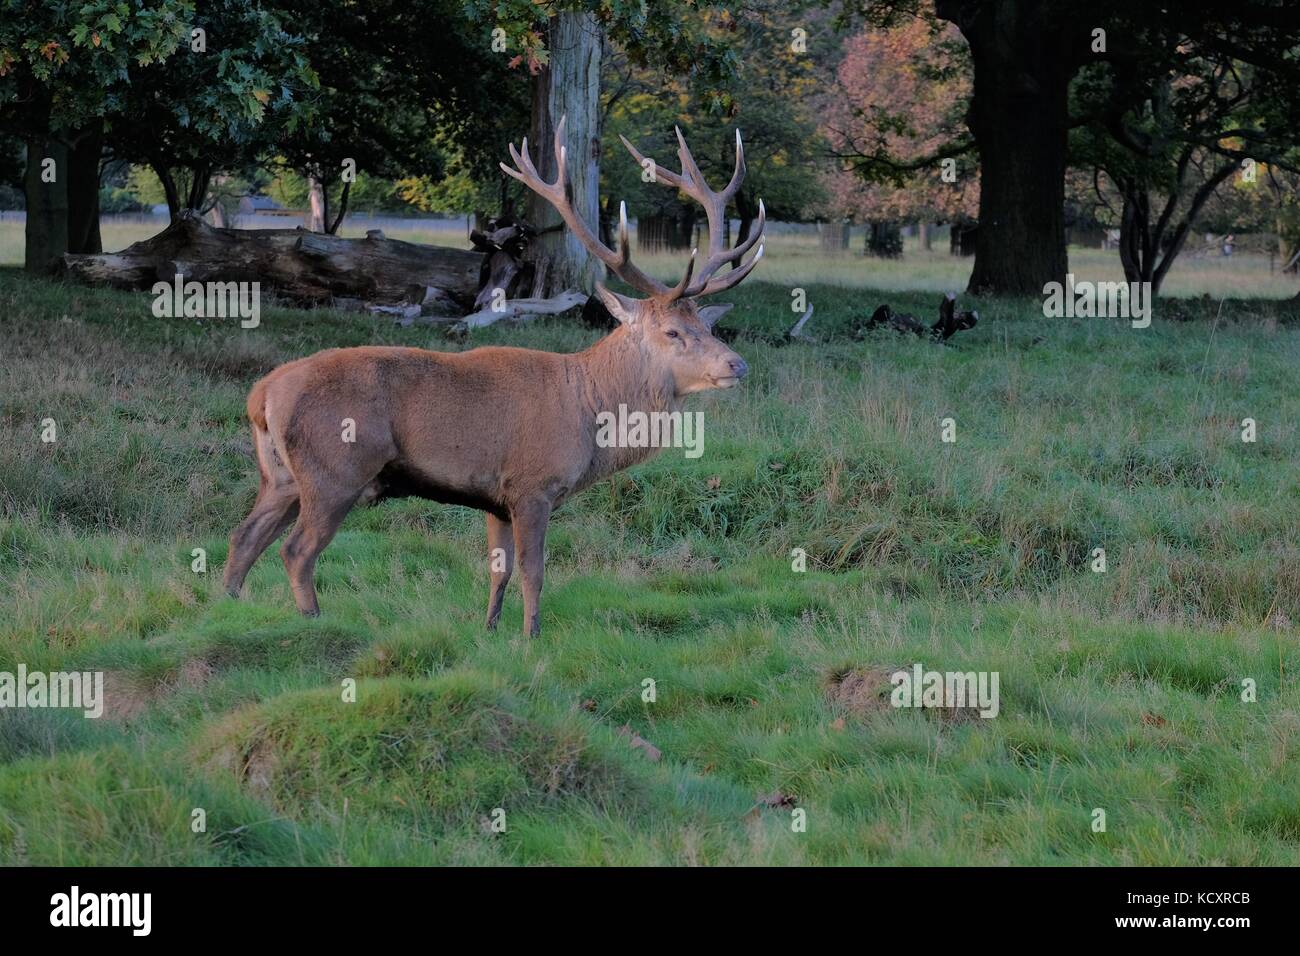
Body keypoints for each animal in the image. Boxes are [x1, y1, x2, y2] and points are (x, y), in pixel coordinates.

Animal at [222, 117, 765, 636]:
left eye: (708, 325)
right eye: (673, 331)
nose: (736, 364)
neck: (590, 414)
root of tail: (261, 395)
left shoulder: (495, 499)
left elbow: (498, 570)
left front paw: (489, 628)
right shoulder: (532, 485)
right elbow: (534, 571)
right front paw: (531, 636)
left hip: (280, 476)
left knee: (243, 536)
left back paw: (225, 609)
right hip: (336, 470)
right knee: (296, 551)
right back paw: (312, 621)